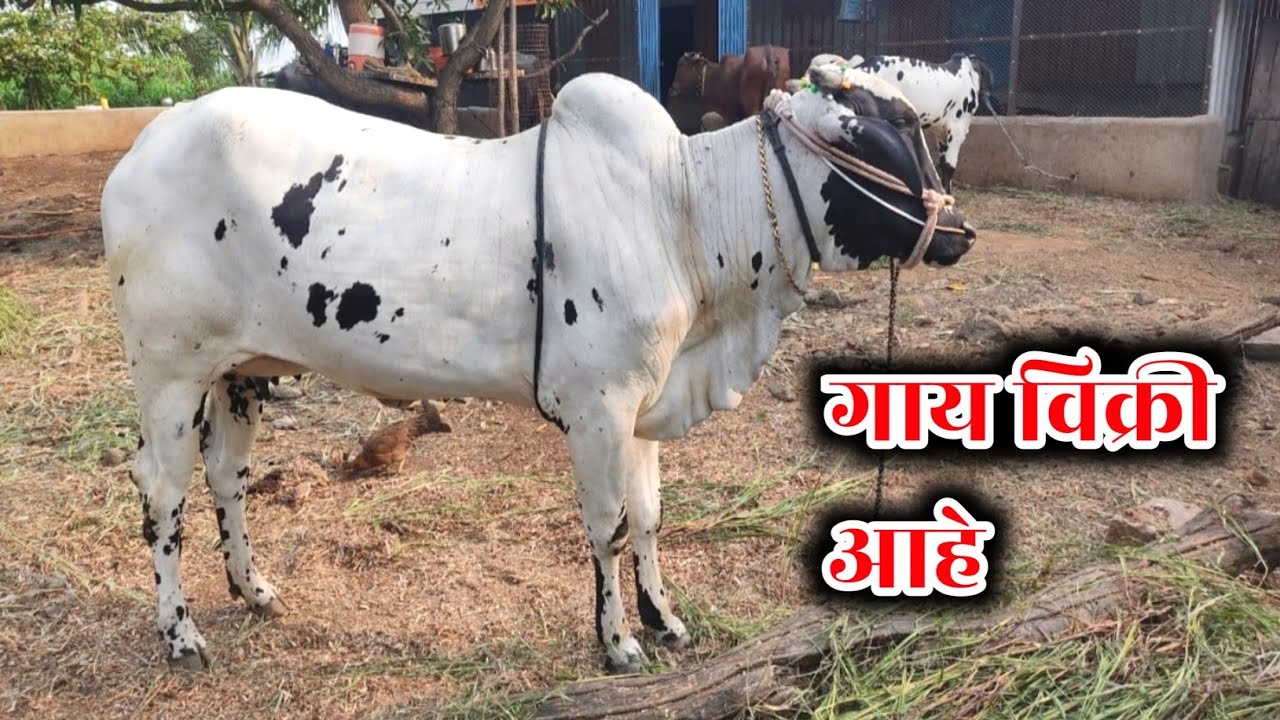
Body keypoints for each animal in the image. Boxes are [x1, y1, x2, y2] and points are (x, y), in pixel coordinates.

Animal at [100, 61, 976, 676]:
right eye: (866, 134)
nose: (958, 232)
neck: (681, 207)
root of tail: (143, 148)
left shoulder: (644, 406)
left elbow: (649, 516)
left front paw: (665, 619)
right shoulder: (598, 409)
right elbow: (609, 525)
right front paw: (618, 642)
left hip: (238, 371)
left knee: (227, 477)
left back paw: (253, 590)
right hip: (169, 373)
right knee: (164, 493)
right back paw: (180, 633)